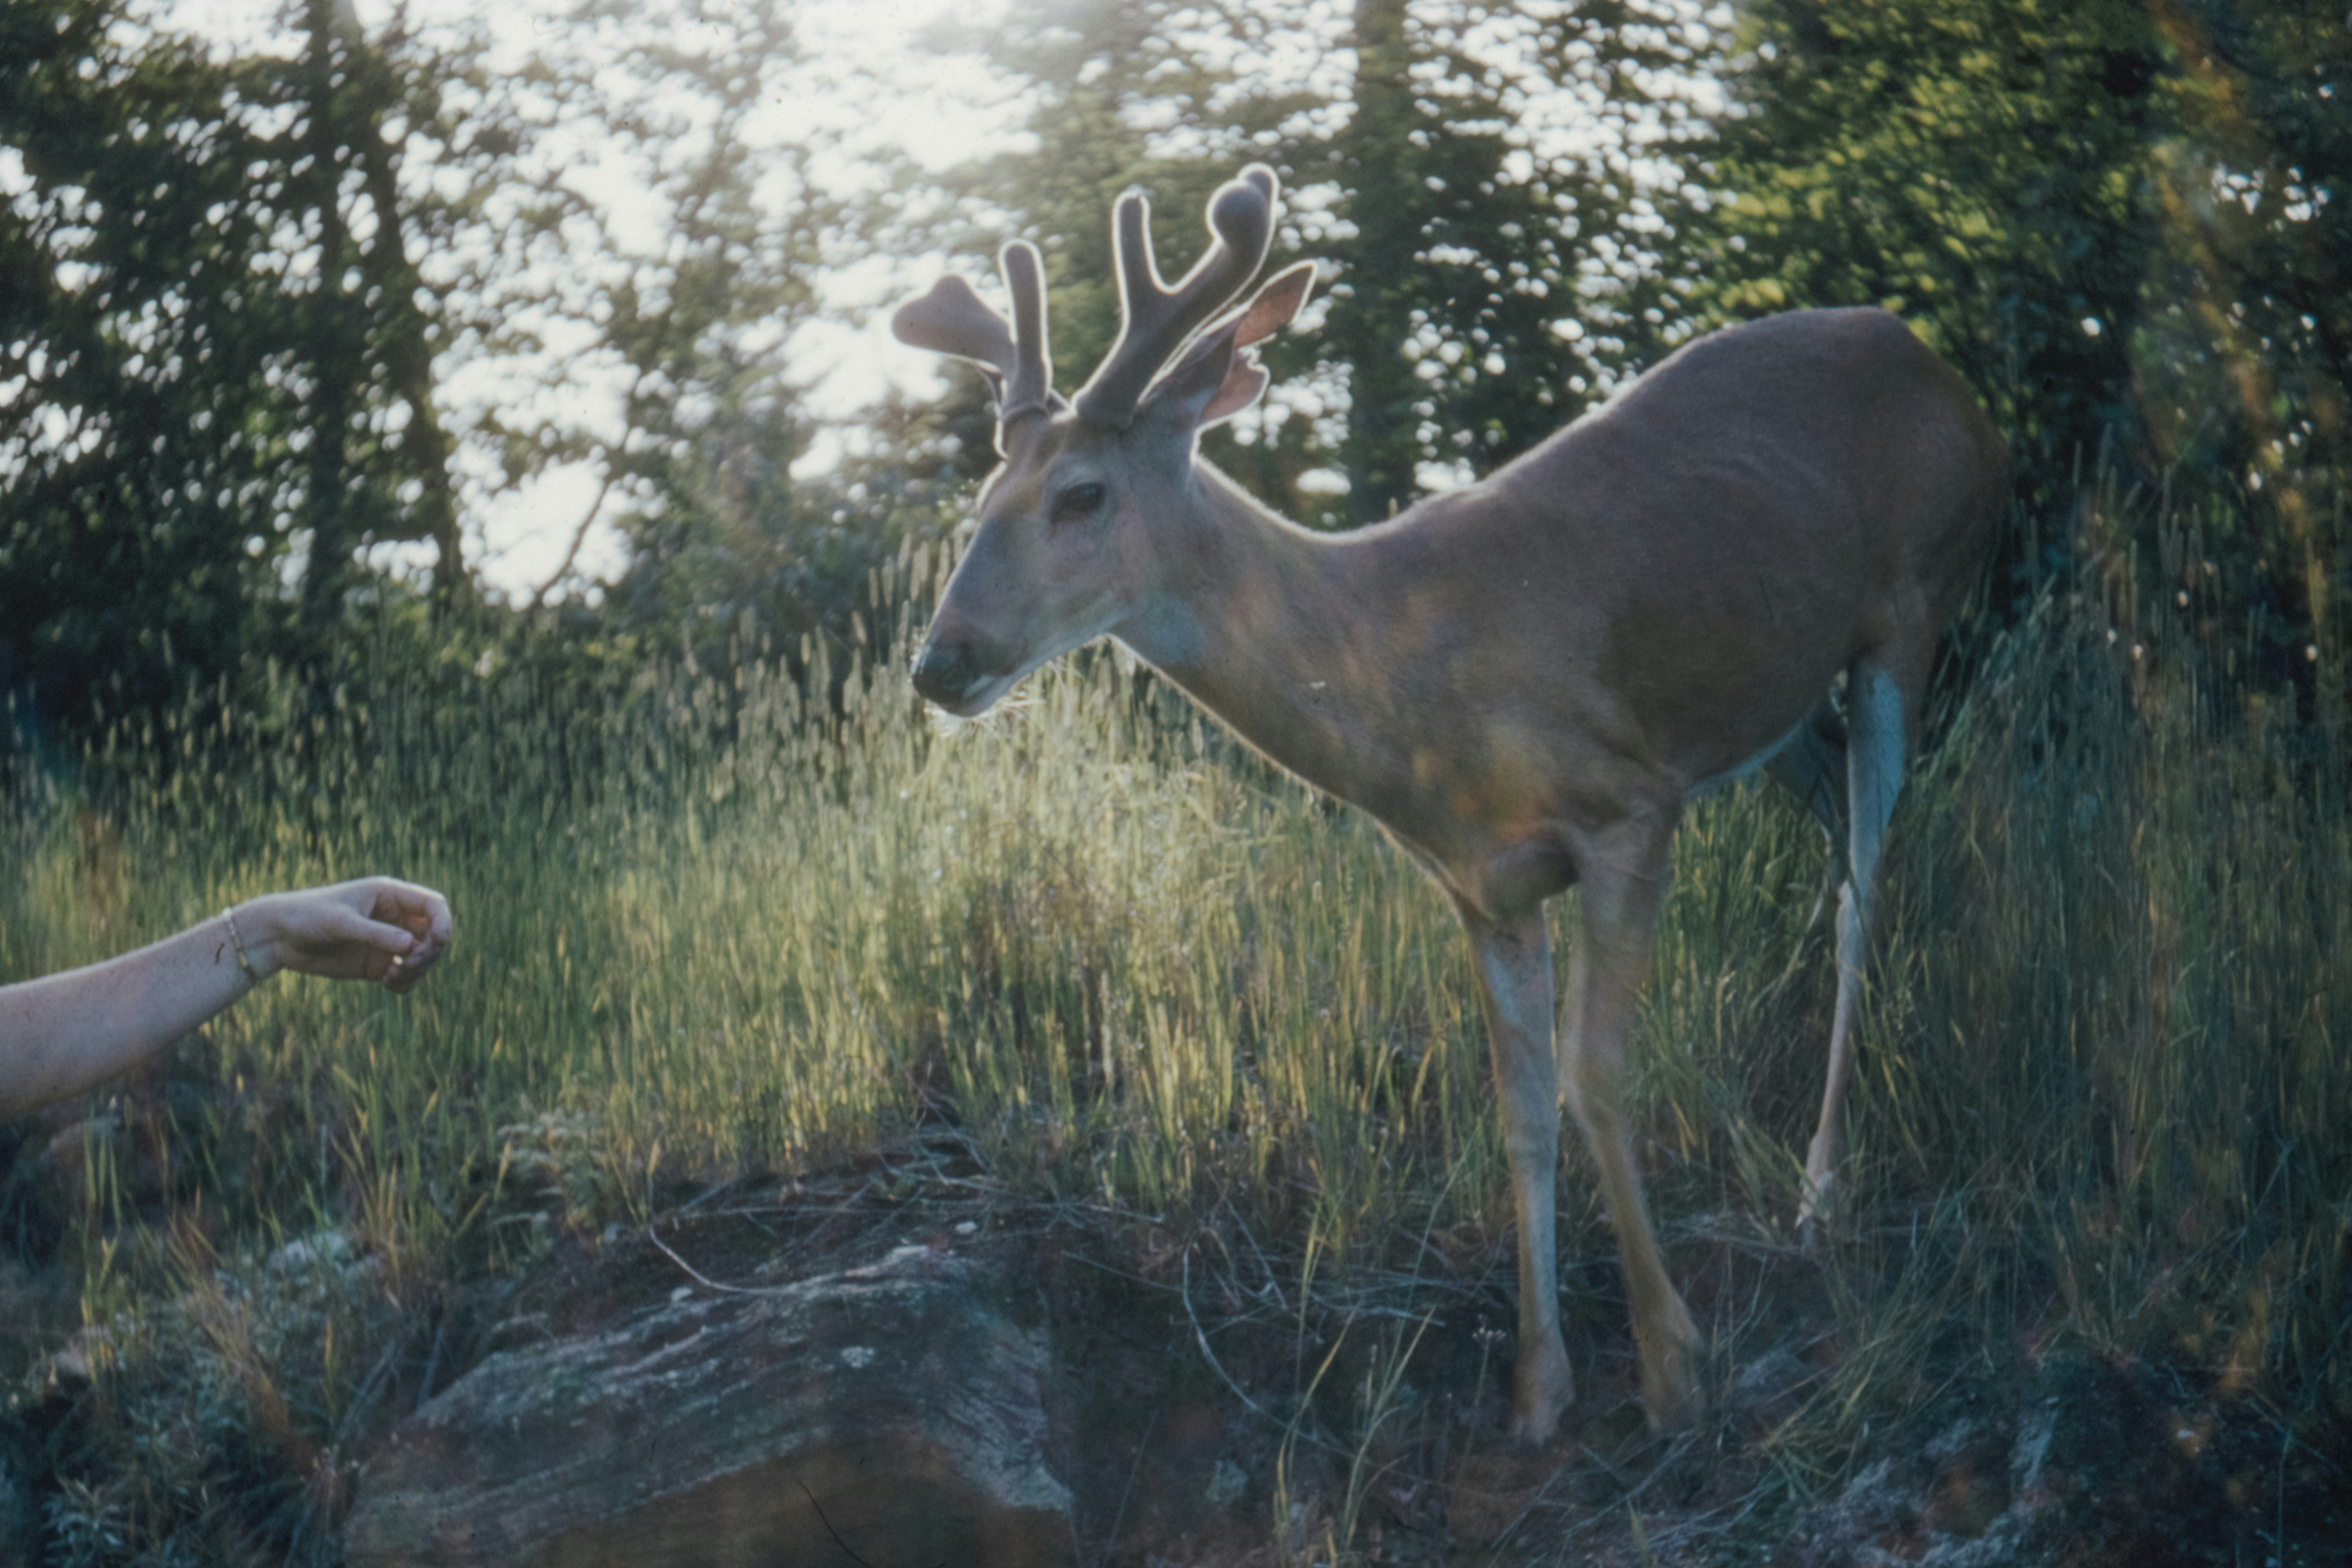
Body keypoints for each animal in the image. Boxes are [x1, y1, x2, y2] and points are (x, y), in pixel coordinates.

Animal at [891, 165, 2006, 1442]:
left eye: (1081, 493)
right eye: (986, 491)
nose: (939, 661)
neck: (1409, 681)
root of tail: (1935, 366)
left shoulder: (1630, 807)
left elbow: (1593, 1076)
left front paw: (1672, 1366)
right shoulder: (1482, 884)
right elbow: (1520, 1108)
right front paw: (1539, 1389)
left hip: (1912, 603)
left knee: (1862, 892)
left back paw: (1822, 1195)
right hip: (1774, 697)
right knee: (1840, 837)